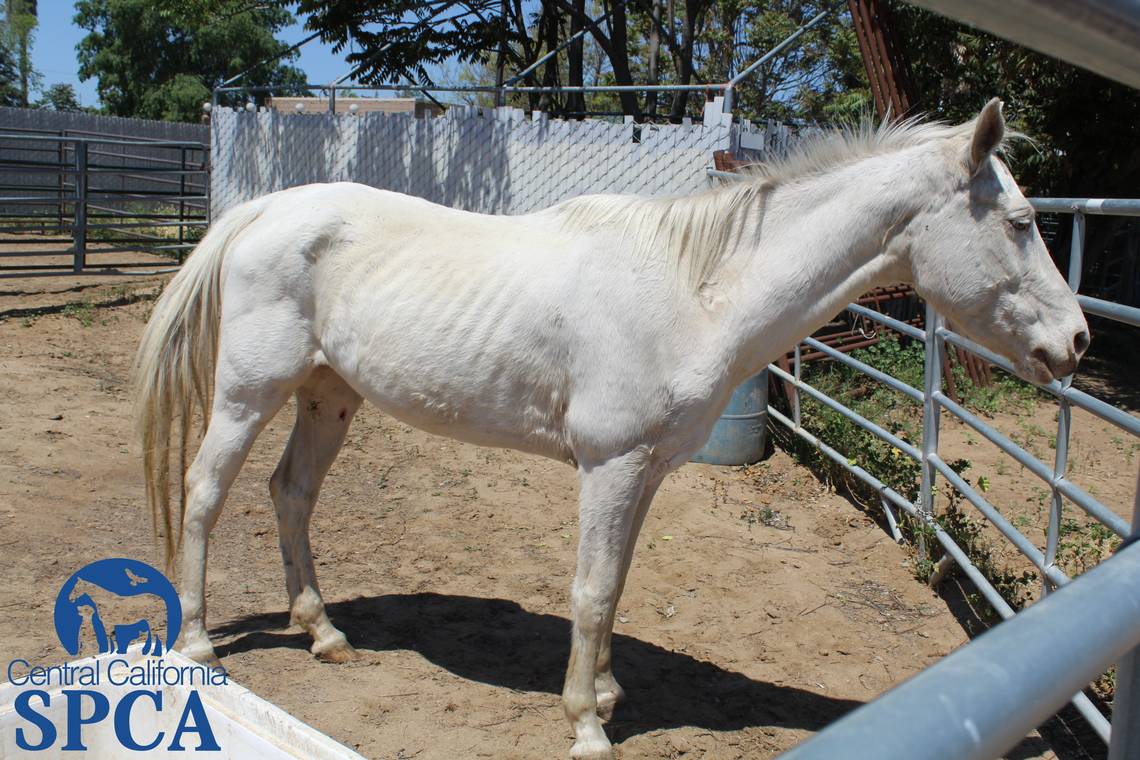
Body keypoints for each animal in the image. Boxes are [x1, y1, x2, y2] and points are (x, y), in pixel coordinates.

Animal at [133, 99, 1088, 759]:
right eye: (1020, 223)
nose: (1076, 341)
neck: (694, 291)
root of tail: (264, 210)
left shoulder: (647, 471)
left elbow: (618, 585)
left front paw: (606, 693)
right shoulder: (611, 465)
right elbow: (591, 591)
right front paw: (586, 727)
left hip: (328, 396)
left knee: (290, 495)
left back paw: (324, 633)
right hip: (250, 392)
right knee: (206, 491)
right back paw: (198, 647)